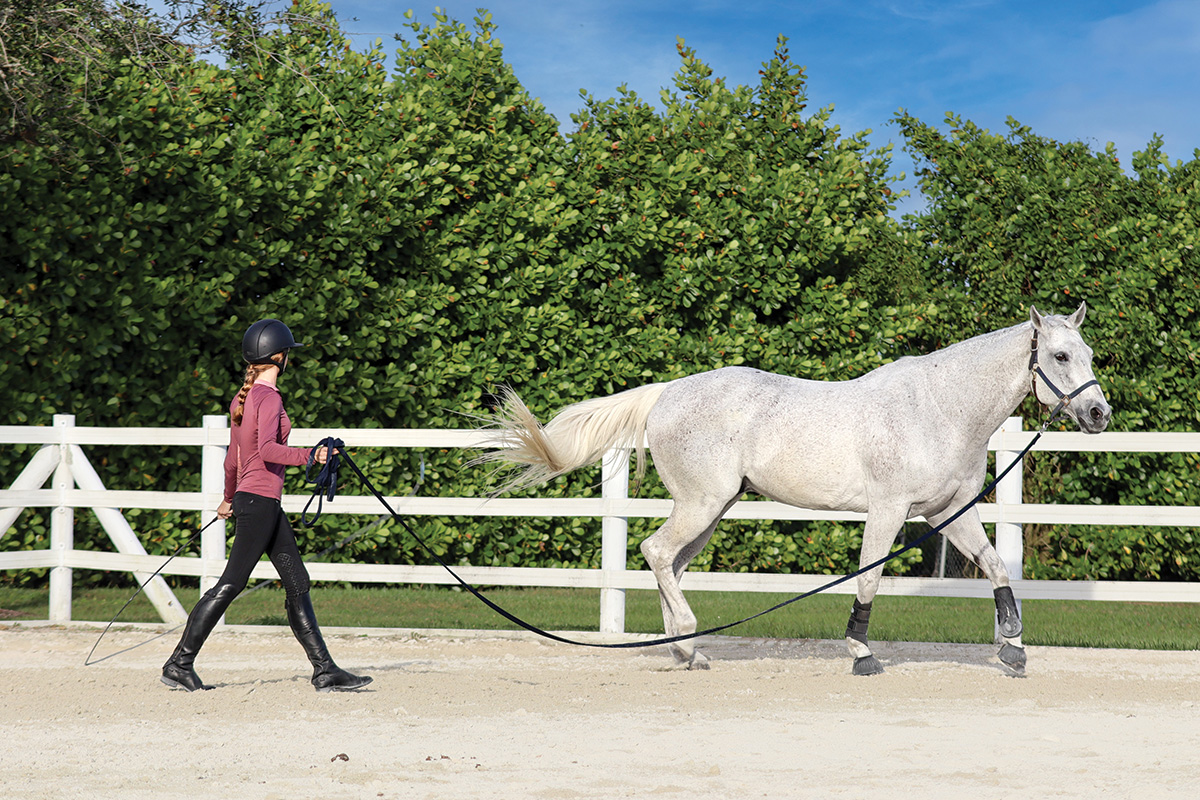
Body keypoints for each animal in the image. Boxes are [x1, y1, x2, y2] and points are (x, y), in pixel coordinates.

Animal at [477, 304, 1111, 674]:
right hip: (702, 503)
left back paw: (685, 649)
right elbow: (870, 578)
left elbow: (998, 569)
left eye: (1089, 353)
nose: (1099, 414)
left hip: (713, 508)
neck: (939, 408)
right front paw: (861, 653)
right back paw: (686, 641)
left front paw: (1013, 648)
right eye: (1060, 354)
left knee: (670, 563)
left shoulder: (949, 512)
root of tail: (667, 392)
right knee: (656, 552)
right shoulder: (890, 510)